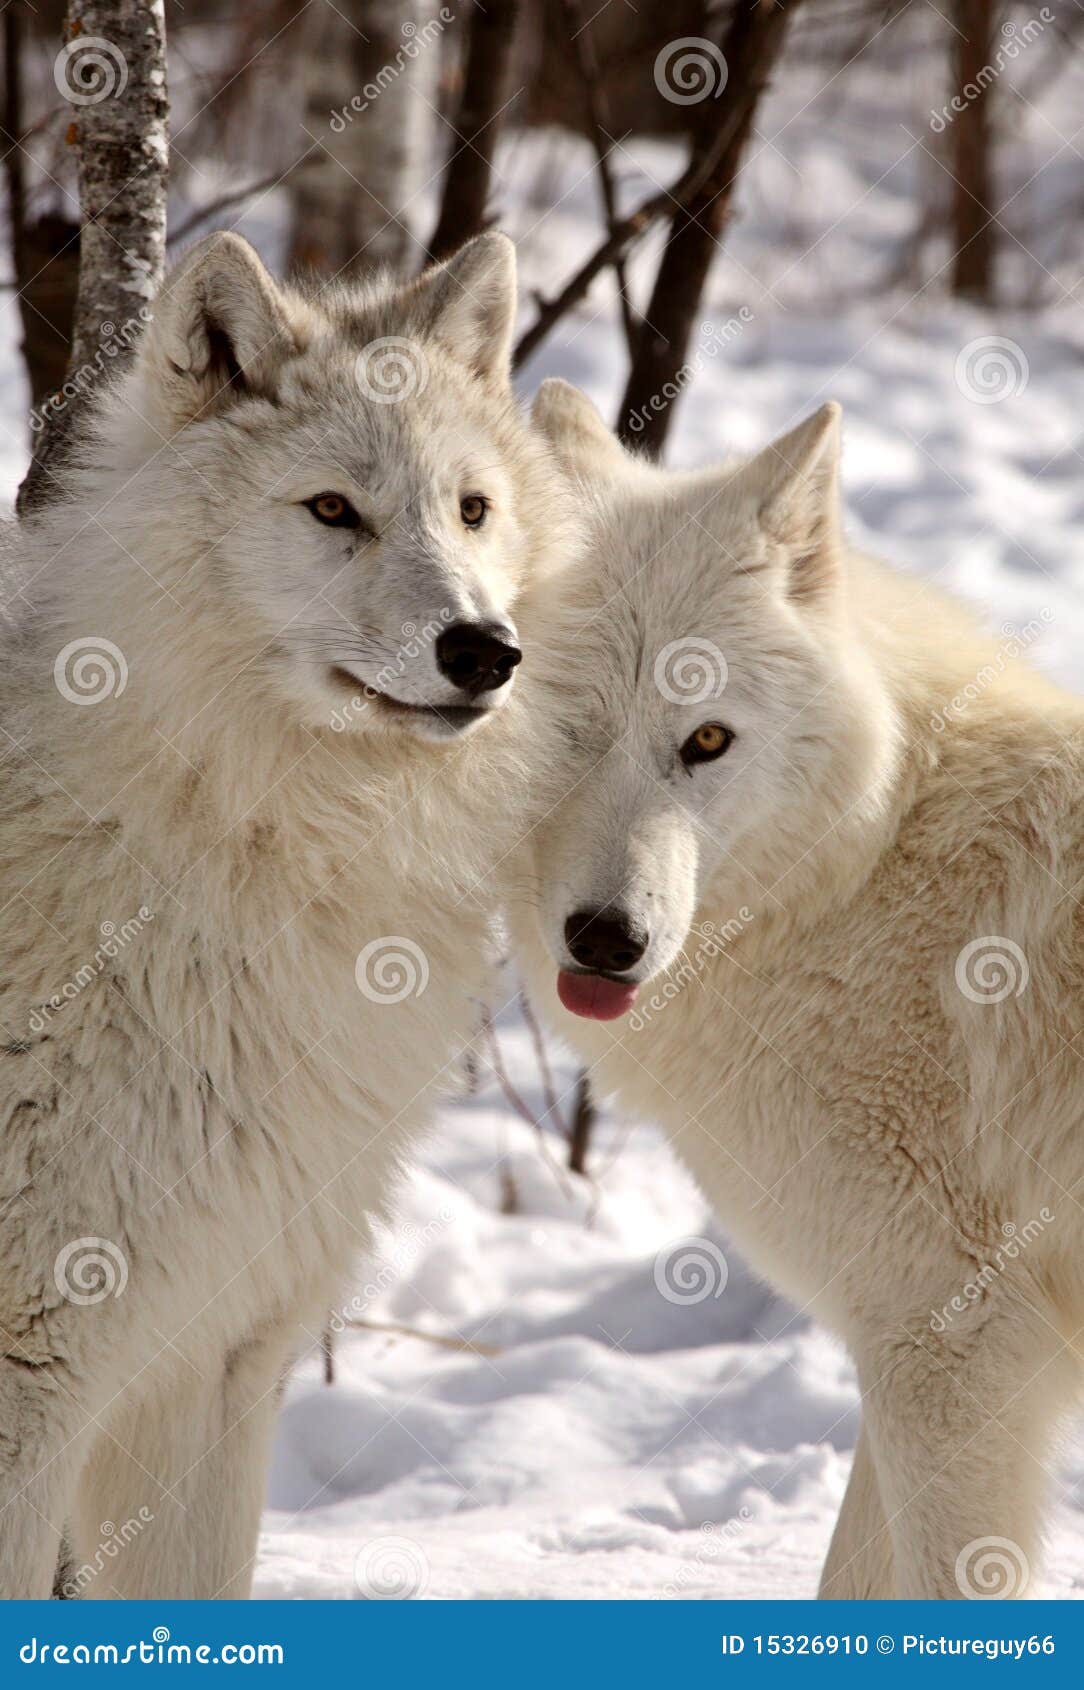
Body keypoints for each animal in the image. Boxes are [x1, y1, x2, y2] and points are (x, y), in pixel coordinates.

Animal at [512, 378, 1084, 1600]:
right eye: (564, 733)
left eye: (706, 739)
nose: (607, 939)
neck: (871, 868)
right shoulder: (915, 1343)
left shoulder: (951, 1347)